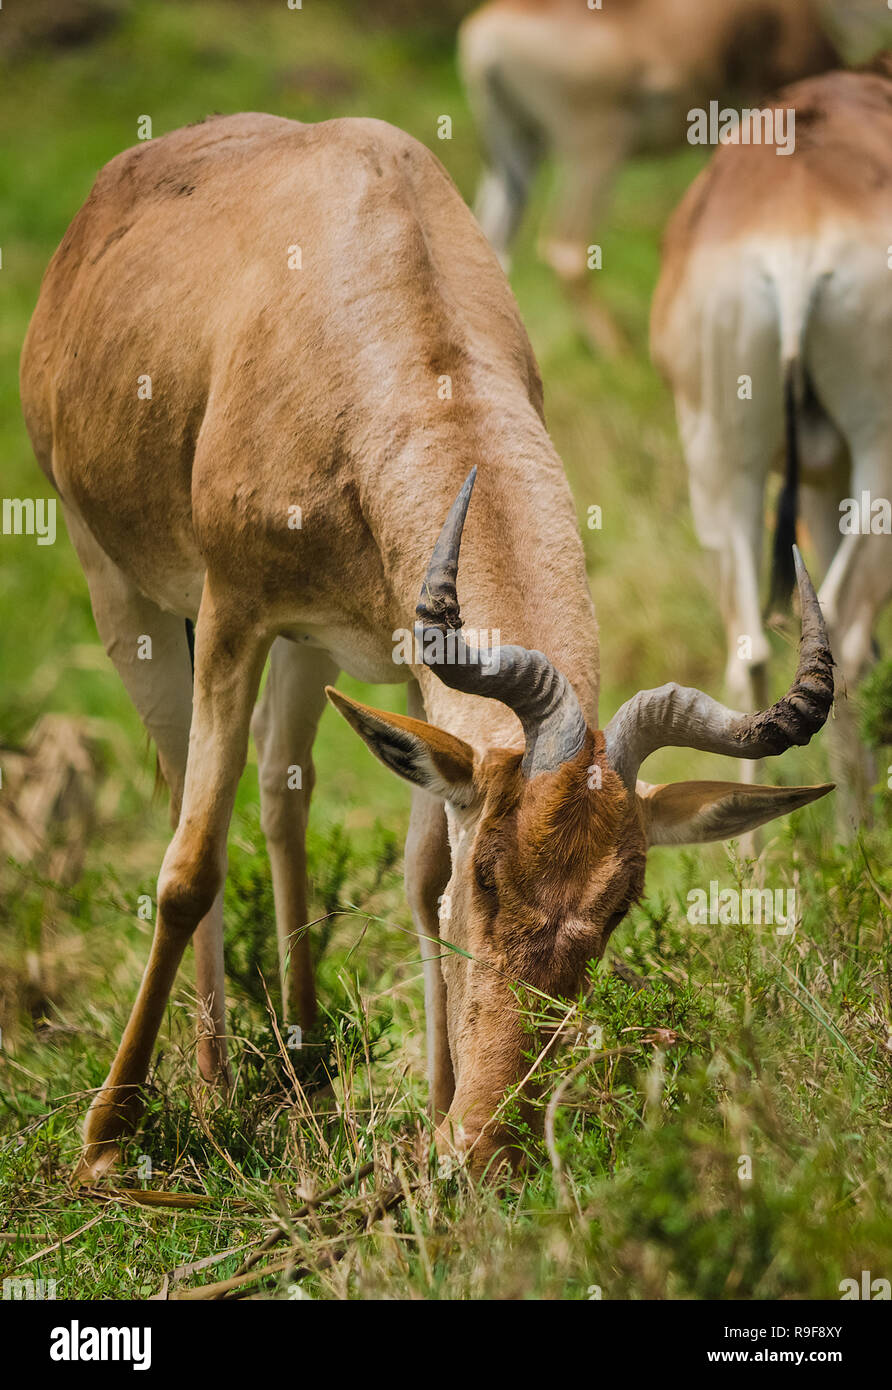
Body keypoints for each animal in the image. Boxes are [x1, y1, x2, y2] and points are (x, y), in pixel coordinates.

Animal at [20, 113, 834, 1181]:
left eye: (621, 903)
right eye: (493, 876)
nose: (486, 1149)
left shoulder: (413, 671)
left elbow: (417, 879)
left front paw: (437, 1110)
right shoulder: (233, 612)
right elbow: (190, 866)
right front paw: (109, 1142)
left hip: (316, 648)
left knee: (283, 787)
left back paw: (305, 1056)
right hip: (125, 591)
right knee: (191, 802)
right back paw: (211, 1079)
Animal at [651, 55, 892, 832]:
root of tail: (794, 229)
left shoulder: (815, 482)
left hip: (721, 462)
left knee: (749, 650)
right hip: (879, 453)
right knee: (846, 628)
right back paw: (856, 833)